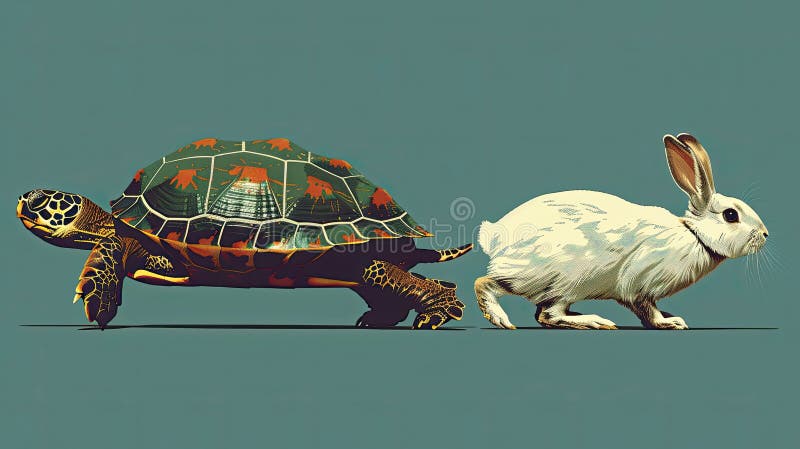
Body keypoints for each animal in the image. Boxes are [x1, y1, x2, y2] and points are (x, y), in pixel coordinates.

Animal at [474, 133, 768, 330]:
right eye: (731, 215)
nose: (765, 235)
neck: (695, 236)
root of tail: (494, 237)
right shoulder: (639, 283)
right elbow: (646, 310)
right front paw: (671, 322)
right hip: (565, 279)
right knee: (515, 298)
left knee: (541, 313)